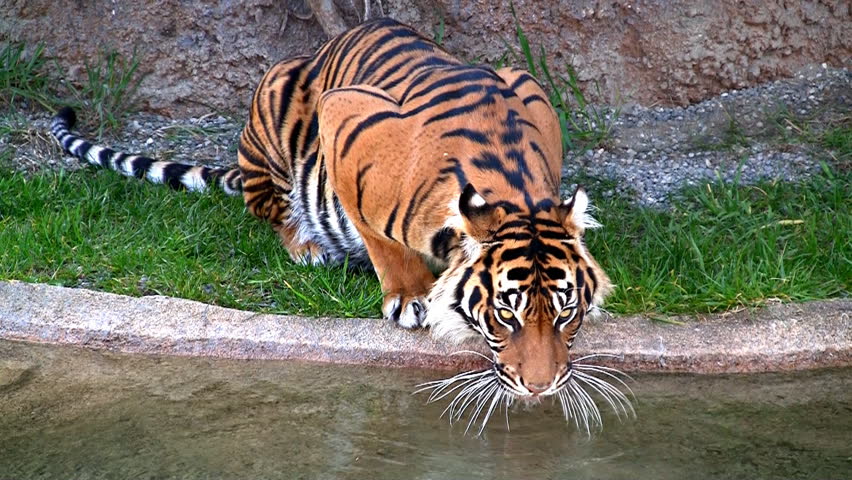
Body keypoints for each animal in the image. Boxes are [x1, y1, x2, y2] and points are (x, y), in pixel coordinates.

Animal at [50, 18, 614, 410]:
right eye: (506, 315)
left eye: (565, 313)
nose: (540, 388)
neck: (514, 188)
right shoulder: (343, 119)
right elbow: (380, 239)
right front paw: (409, 297)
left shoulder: (530, 87)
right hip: (275, 105)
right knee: (270, 209)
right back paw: (308, 246)